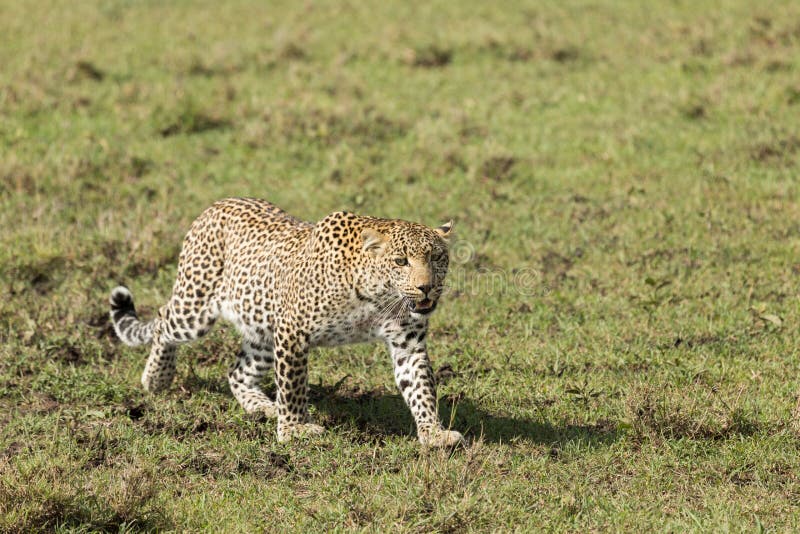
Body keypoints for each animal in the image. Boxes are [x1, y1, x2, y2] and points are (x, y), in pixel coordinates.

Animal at [109, 197, 463, 447]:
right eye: (401, 261)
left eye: (436, 257)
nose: (426, 286)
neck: (376, 296)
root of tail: (214, 206)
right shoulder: (294, 330)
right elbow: (293, 385)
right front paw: (294, 429)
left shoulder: (407, 342)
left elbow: (421, 387)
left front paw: (433, 432)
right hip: (195, 307)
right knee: (162, 318)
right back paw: (156, 378)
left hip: (262, 329)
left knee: (237, 373)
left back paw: (262, 407)